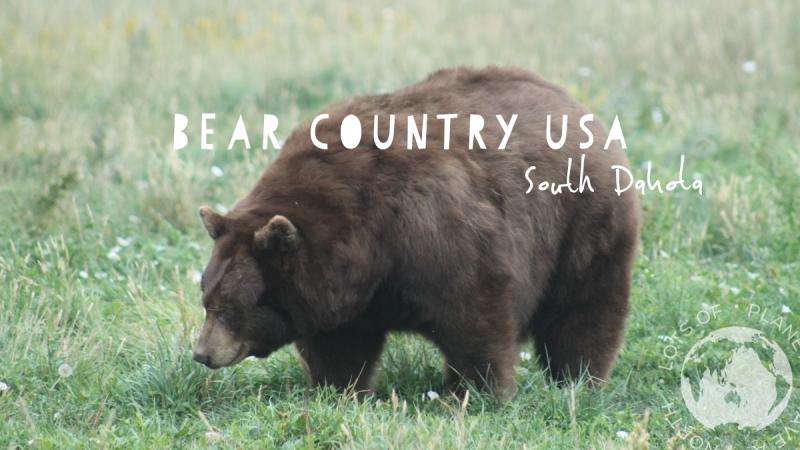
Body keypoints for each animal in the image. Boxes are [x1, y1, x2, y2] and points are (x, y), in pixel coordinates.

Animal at [192, 66, 640, 398]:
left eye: (230, 307)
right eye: (207, 299)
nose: (201, 353)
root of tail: (575, 104)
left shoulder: (434, 231)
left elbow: (475, 313)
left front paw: (473, 392)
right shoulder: (347, 294)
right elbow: (339, 344)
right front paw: (339, 389)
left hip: (581, 218)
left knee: (582, 306)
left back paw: (578, 377)